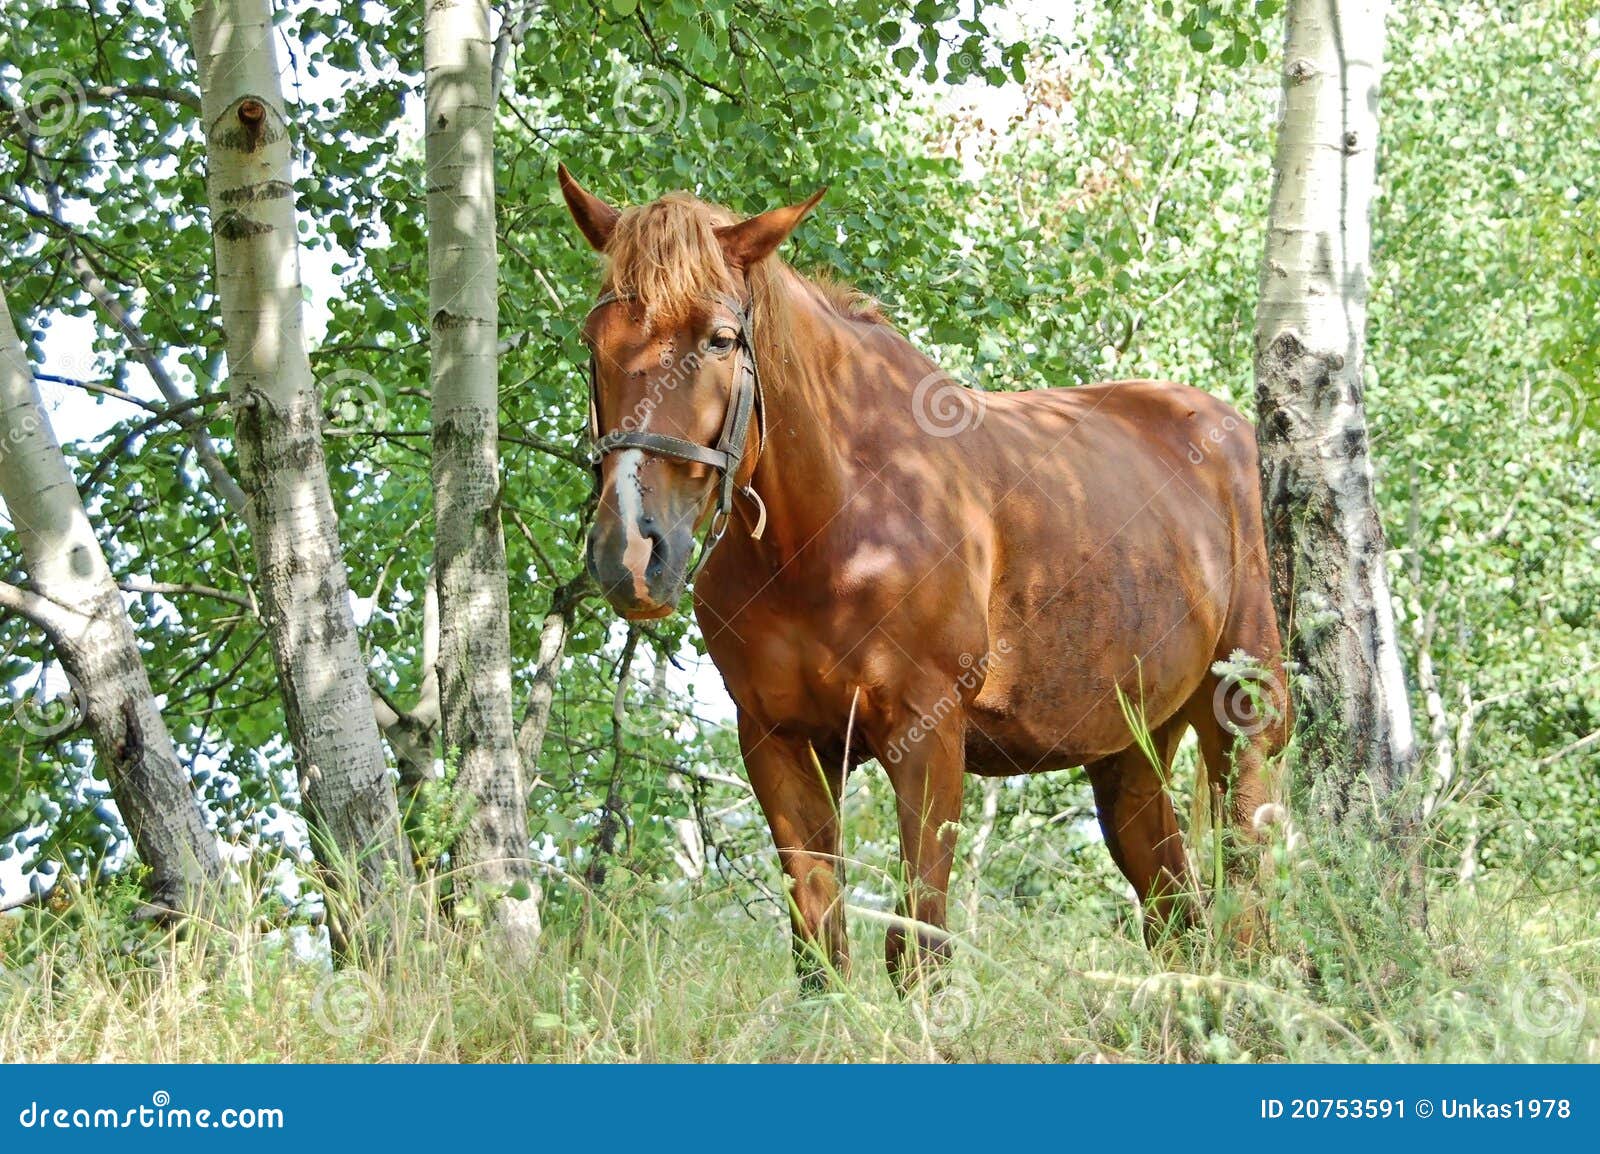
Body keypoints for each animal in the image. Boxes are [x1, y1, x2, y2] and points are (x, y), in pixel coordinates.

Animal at [557, 165, 1290, 990]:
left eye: (718, 338)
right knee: (1176, 914)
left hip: (1244, 722)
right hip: (1130, 751)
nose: (631, 552)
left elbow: (917, 949)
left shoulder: (928, 736)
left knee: (1246, 902)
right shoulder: (778, 742)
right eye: (594, 340)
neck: (826, 528)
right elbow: (820, 950)